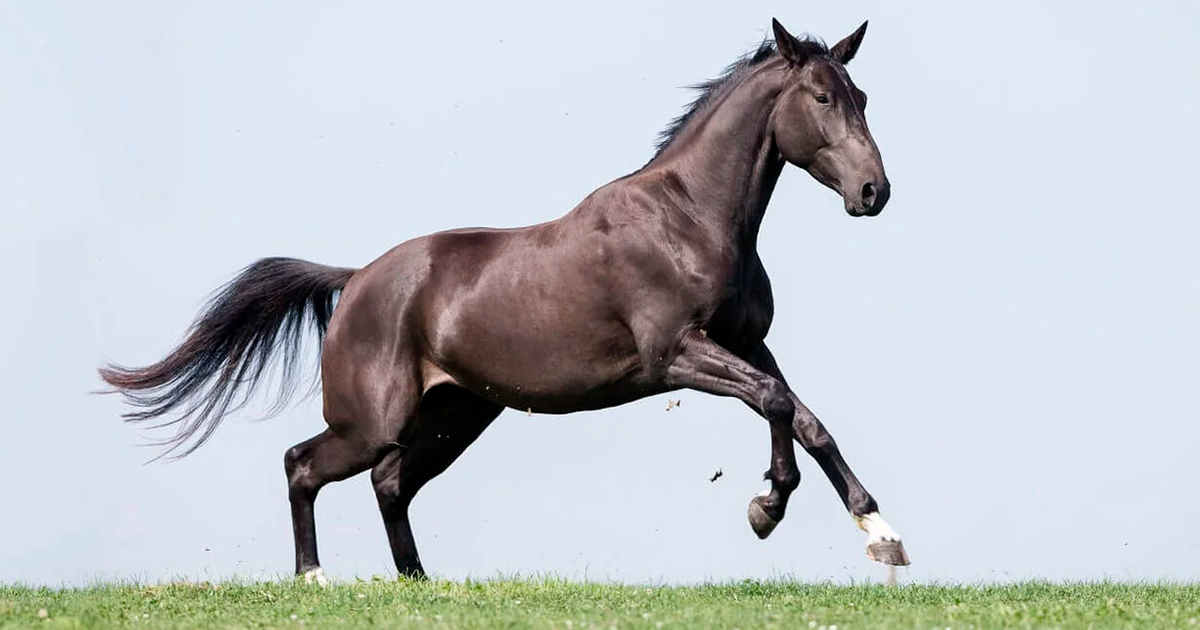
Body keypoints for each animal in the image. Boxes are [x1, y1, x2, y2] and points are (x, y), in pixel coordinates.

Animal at [99, 18, 909, 583]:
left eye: (863, 97)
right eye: (821, 97)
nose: (875, 192)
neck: (689, 218)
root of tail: (355, 280)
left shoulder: (746, 343)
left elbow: (802, 416)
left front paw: (874, 533)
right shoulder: (676, 355)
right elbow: (776, 402)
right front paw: (769, 510)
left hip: (455, 414)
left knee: (391, 482)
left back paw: (418, 582)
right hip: (373, 421)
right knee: (305, 464)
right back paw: (315, 578)